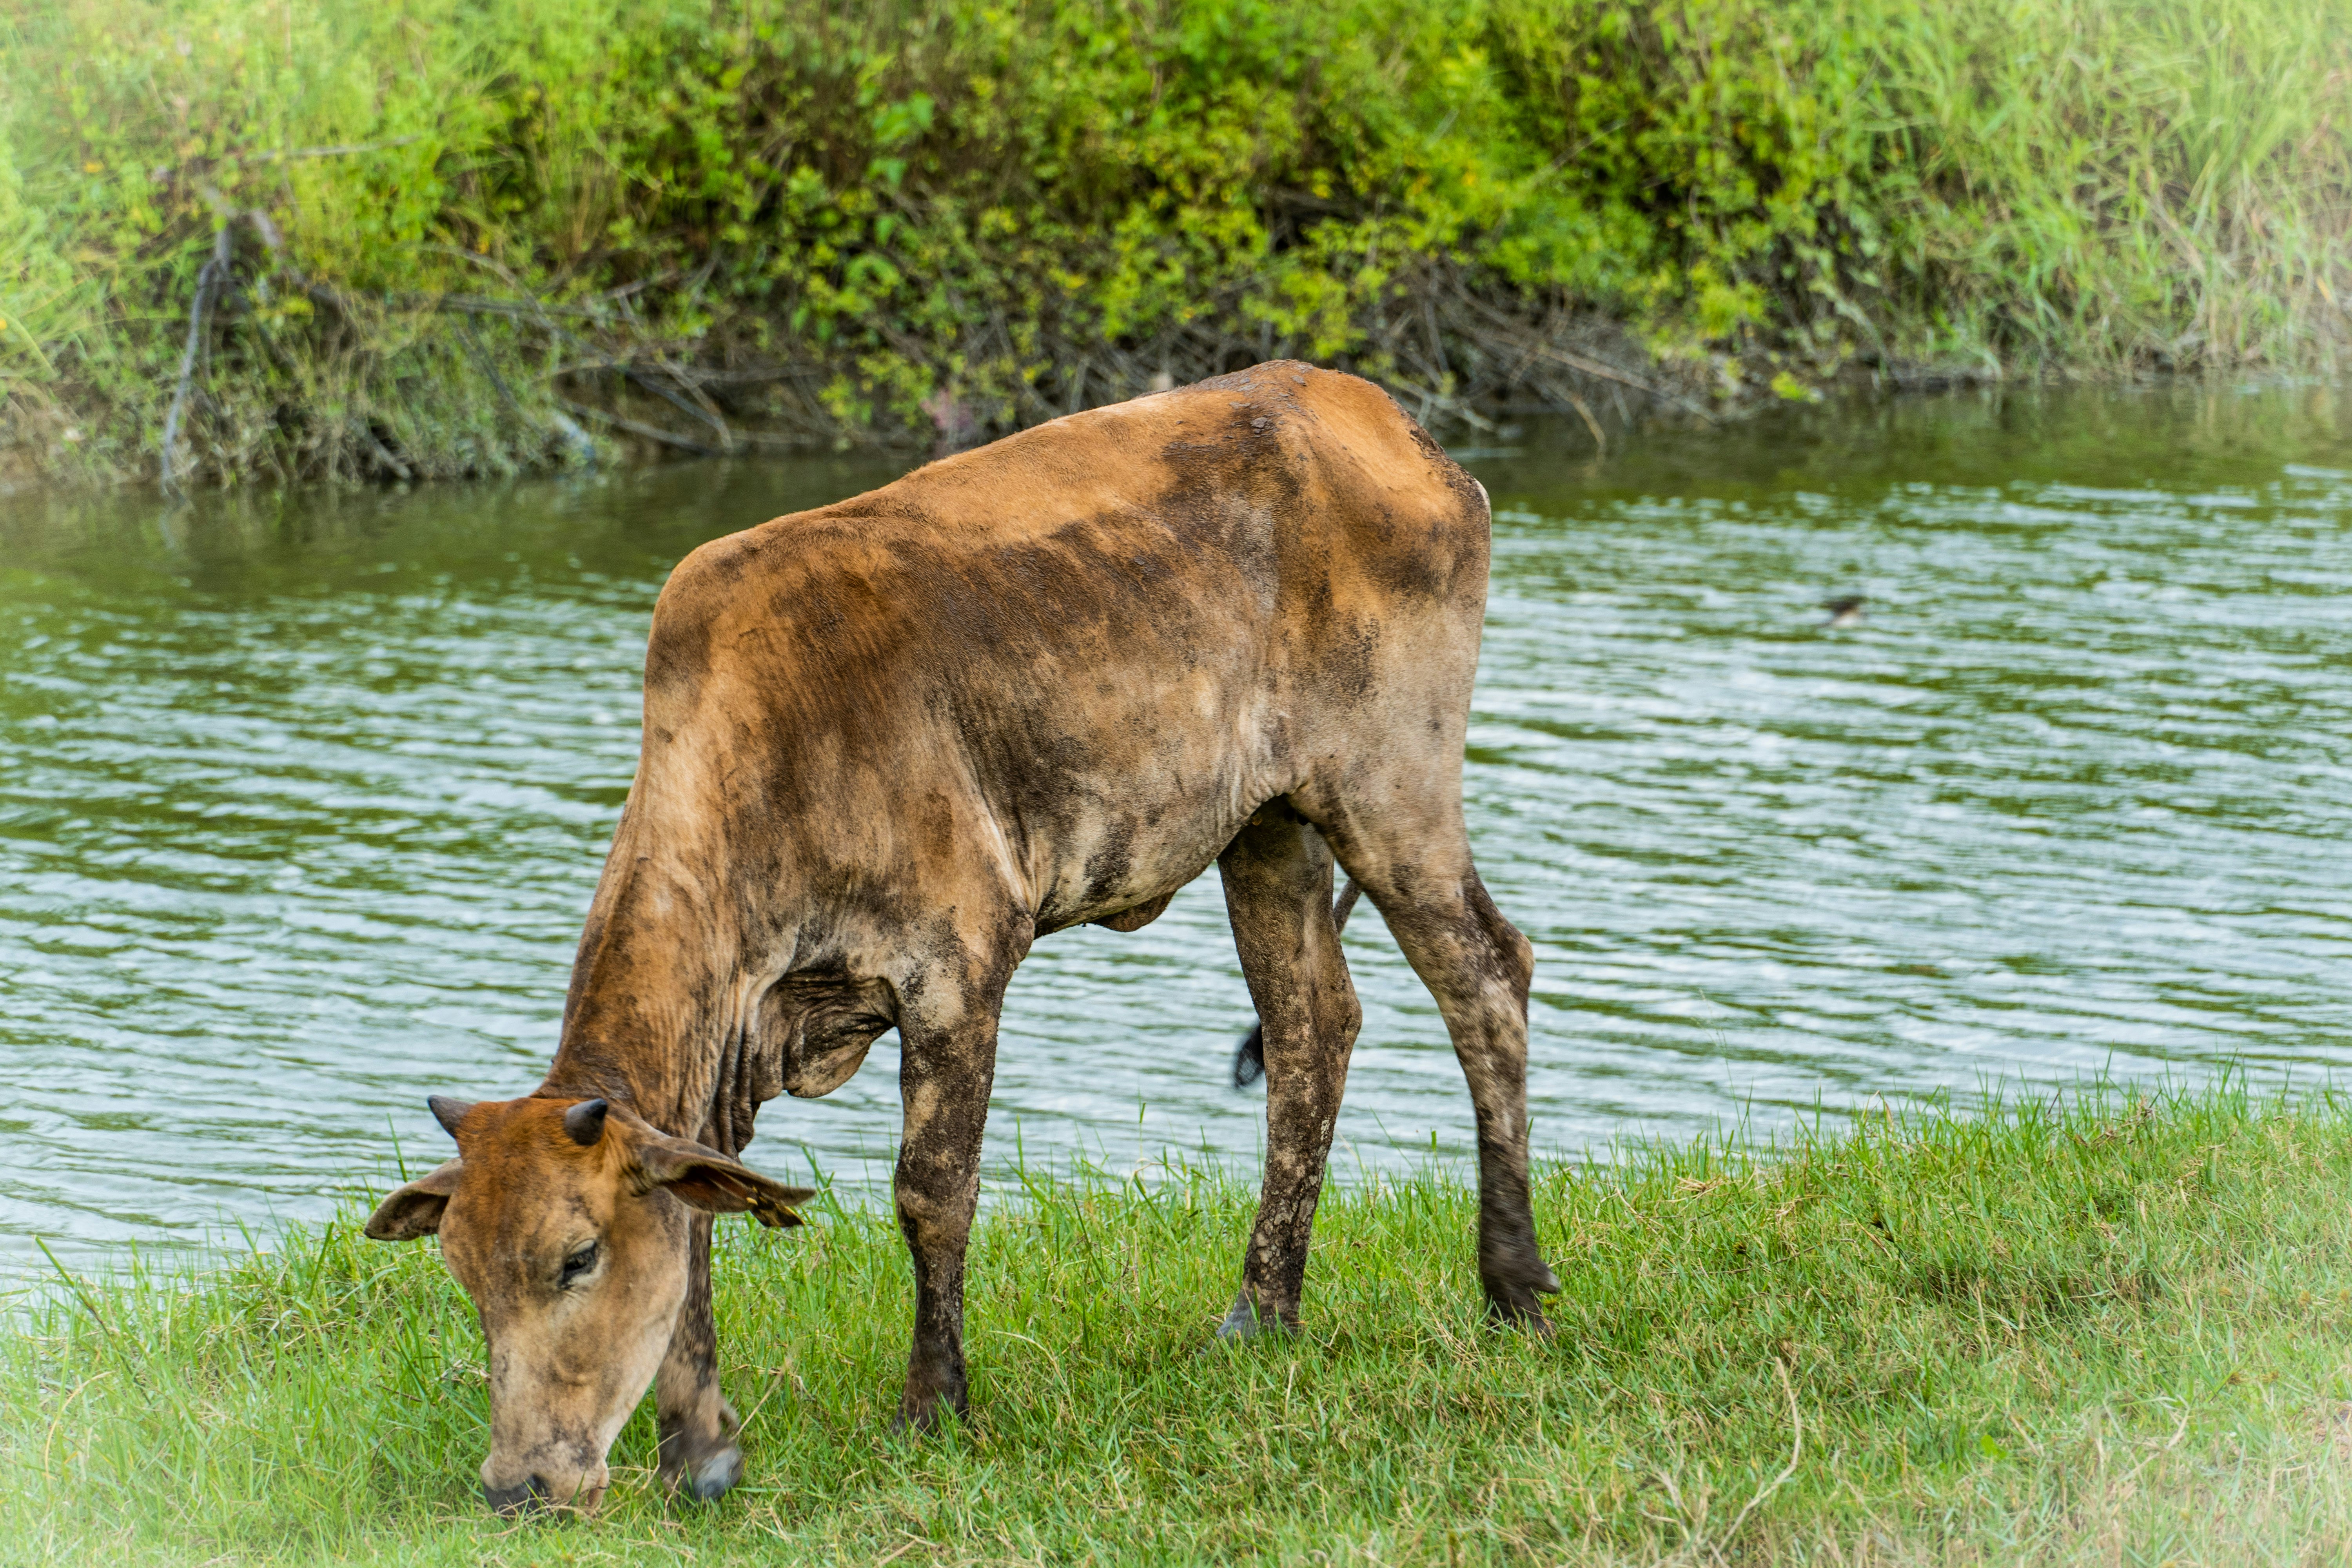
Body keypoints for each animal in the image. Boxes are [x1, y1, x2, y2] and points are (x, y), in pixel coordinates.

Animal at [362, 361, 1559, 1513]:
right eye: (464, 1276)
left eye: (578, 1258)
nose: (517, 1485)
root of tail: (1378, 416)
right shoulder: (721, 1070)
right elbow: (699, 1233)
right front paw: (696, 1452)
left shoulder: (957, 966)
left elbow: (932, 1195)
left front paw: (933, 1406)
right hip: (1265, 827)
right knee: (1313, 1027)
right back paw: (1261, 1315)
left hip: (1390, 788)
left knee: (1485, 978)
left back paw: (1515, 1289)